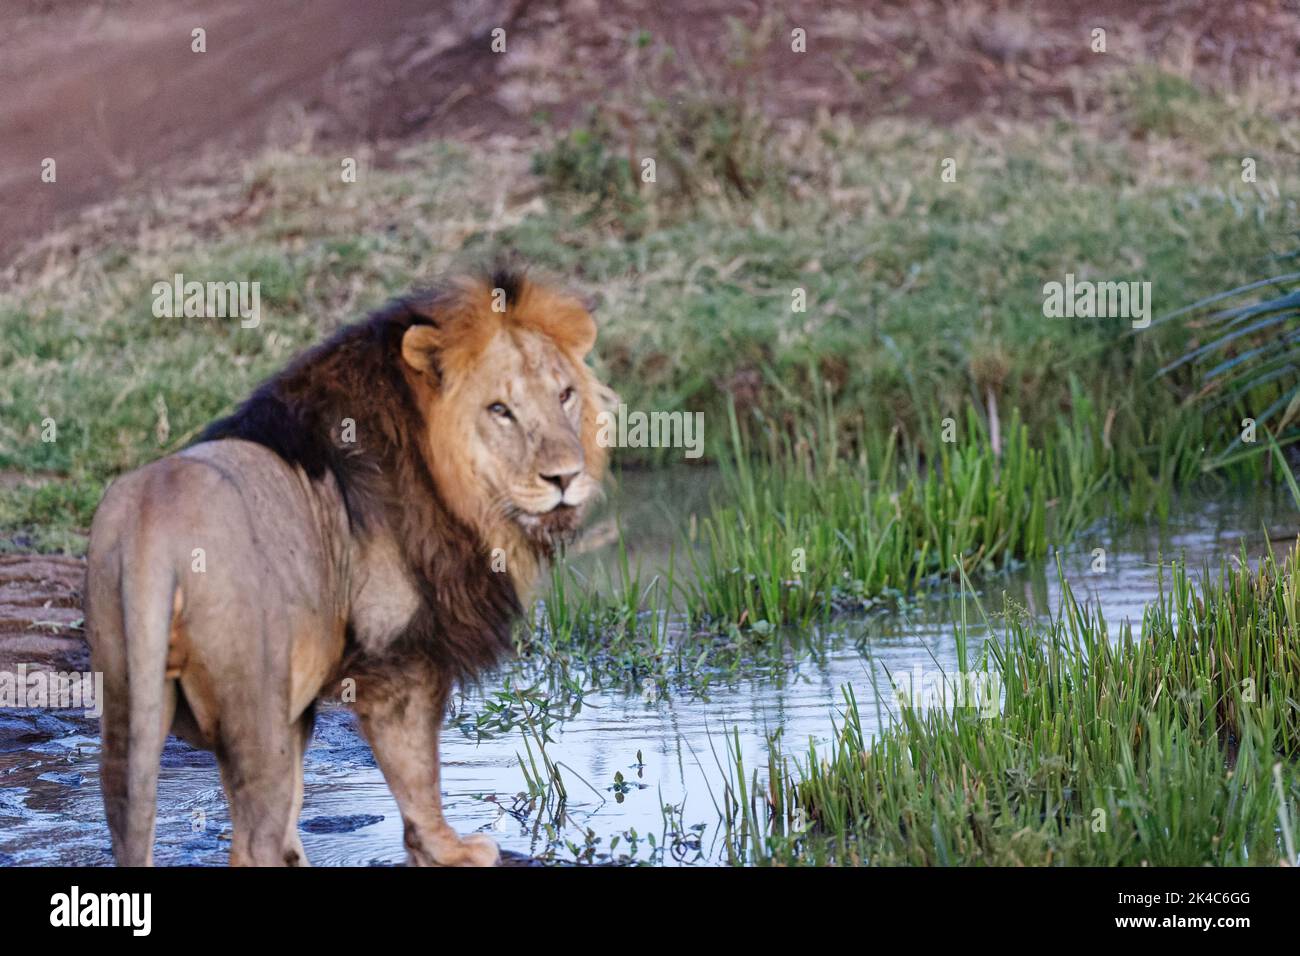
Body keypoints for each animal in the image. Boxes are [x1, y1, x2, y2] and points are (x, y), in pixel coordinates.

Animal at [84, 269, 613, 866]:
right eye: (500, 409)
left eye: (565, 396)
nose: (565, 477)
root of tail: (153, 524)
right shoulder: (400, 661)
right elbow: (418, 774)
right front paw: (449, 850)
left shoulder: (310, 699)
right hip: (254, 712)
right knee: (252, 841)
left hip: (128, 701)